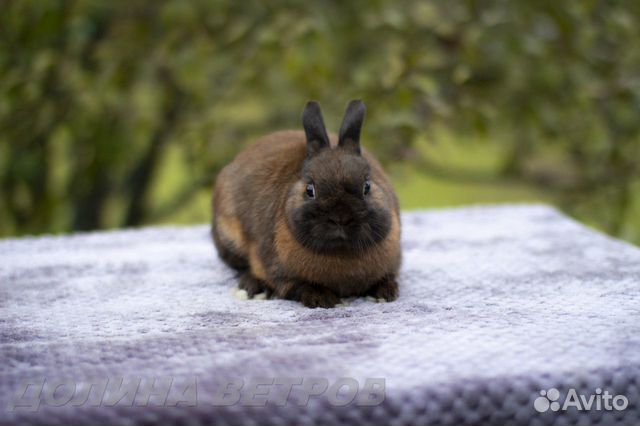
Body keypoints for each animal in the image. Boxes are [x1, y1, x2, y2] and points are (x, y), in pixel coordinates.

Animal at [211, 100, 401, 308]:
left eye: (367, 186)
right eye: (310, 190)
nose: (340, 218)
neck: (341, 253)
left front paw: (384, 293)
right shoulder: (279, 274)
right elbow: (297, 287)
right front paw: (324, 299)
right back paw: (252, 288)